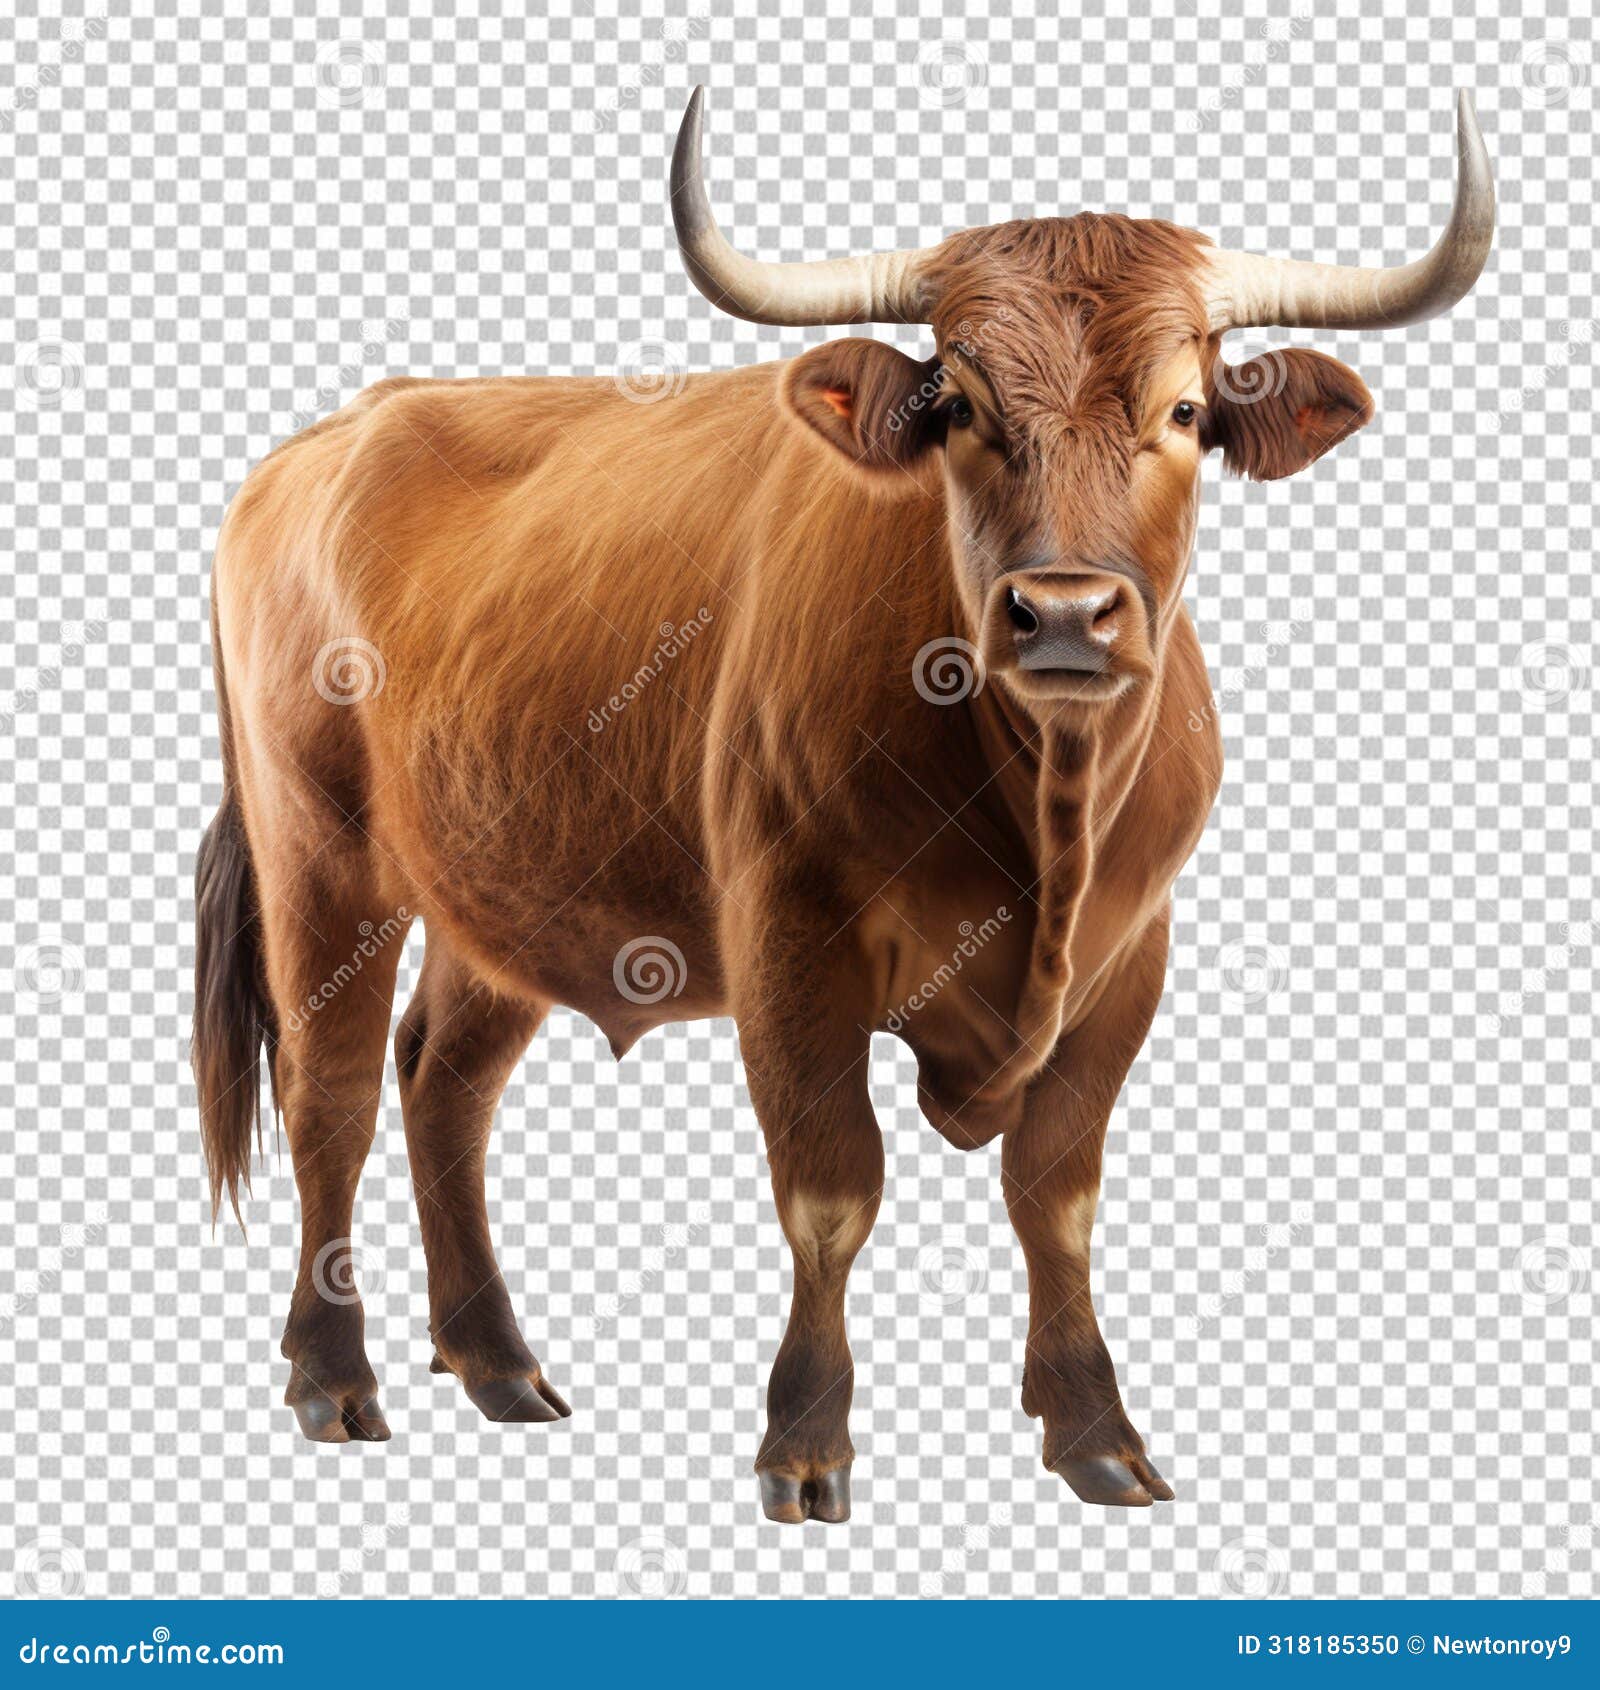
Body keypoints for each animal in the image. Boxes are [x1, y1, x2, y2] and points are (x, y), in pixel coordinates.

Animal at [192, 87, 1492, 1521]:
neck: (1044, 807)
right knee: (332, 1089)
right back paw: (333, 1375)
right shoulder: (789, 934)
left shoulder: (1130, 956)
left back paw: (496, 1364)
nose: (1065, 614)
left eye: (1188, 409)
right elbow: (830, 1190)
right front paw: (805, 1444)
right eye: (962, 406)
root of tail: (329, 437)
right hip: (317, 852)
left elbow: (1057, 1195)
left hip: (506, 882)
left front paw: (1095, 1430)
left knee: (444, 1079)